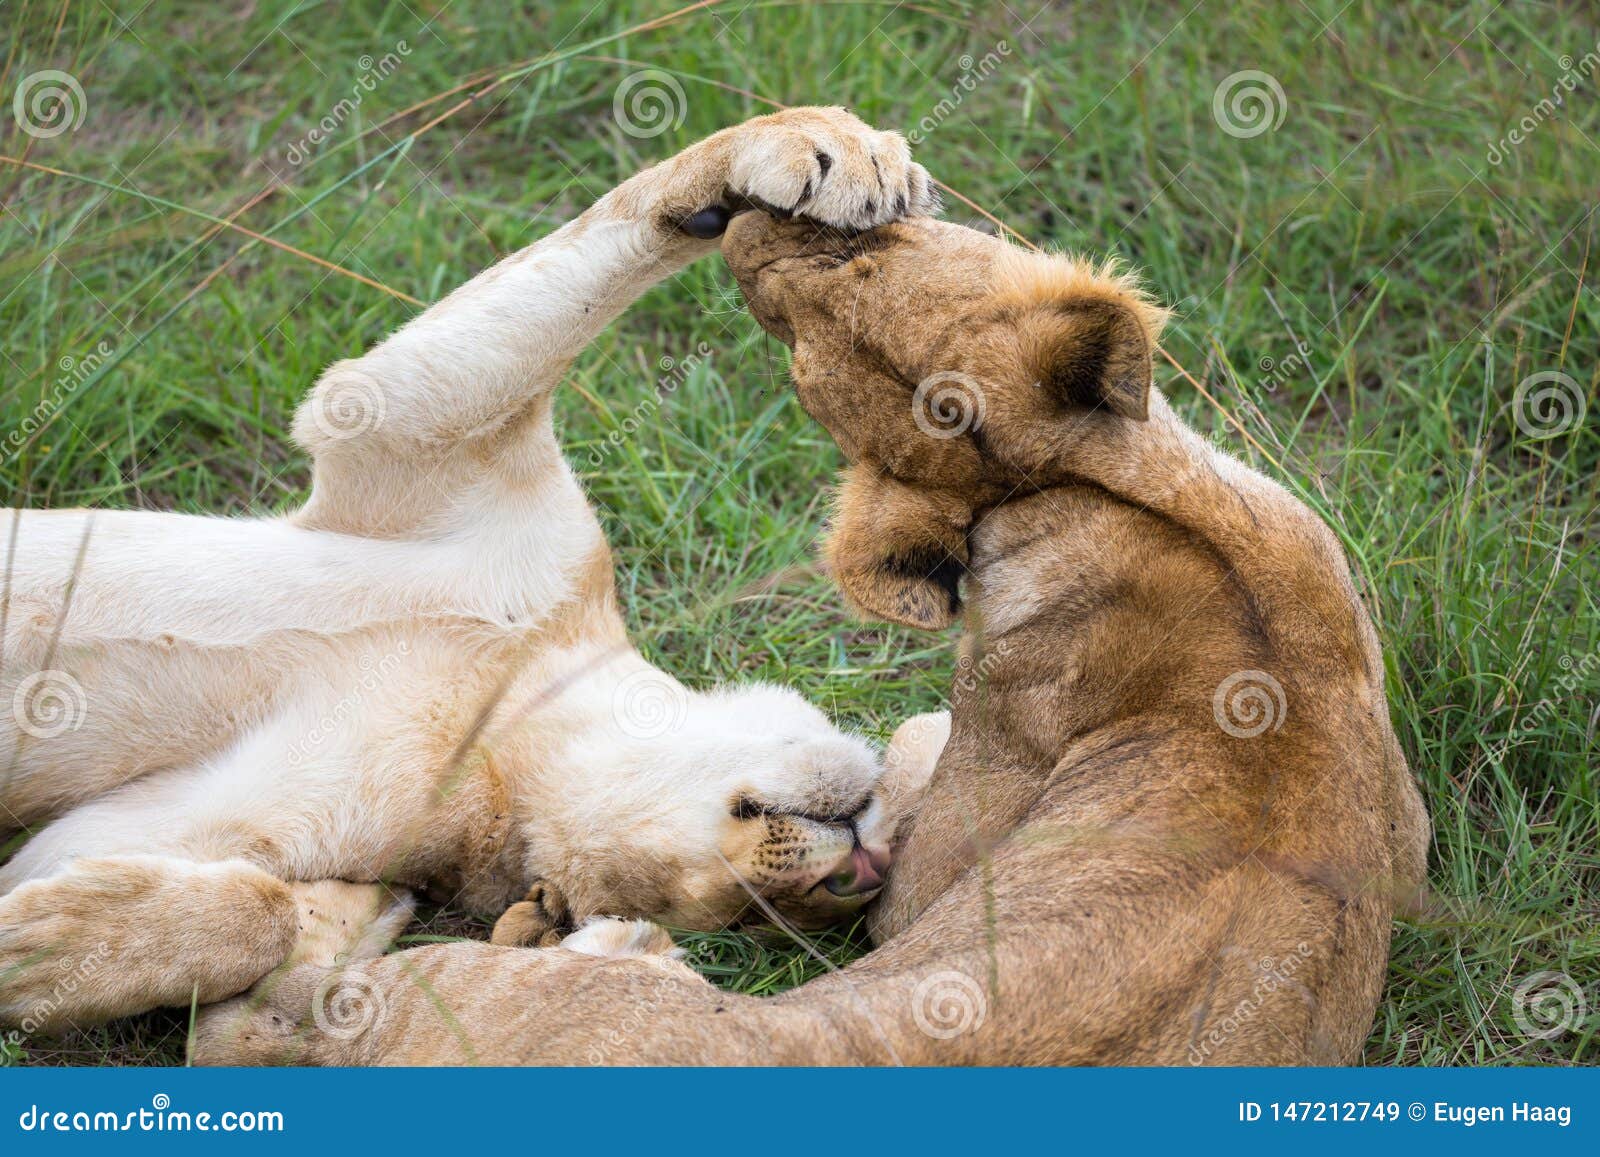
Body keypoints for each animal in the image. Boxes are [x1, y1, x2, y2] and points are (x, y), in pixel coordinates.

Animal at [0, 109, 941, 1035]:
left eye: (744, 920)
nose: (852, 872)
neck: (510, 700)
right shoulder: (406, 421)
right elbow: (602, 236)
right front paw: (825, 150)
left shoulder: (162, 829)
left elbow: (253, 914)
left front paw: (40, 945)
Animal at [193, 210, 1431, 1066]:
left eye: (845, 277)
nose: (742, 228)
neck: (1103, 497)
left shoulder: (946, 823)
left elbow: (918, 772)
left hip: (439, 986)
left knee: (265, 1019)